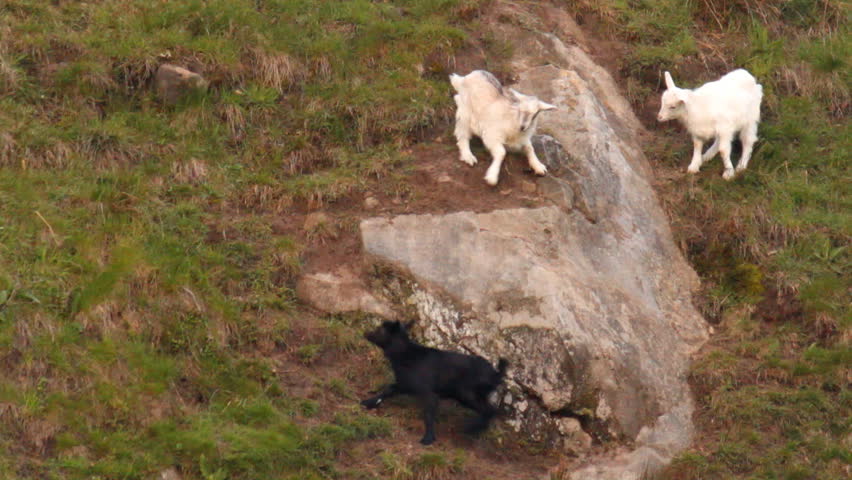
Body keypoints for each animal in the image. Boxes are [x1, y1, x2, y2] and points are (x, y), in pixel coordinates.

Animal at [361, 320, 508, 445]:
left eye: (380, 329)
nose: (366, 333)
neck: (407, 354)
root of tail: (495, 374)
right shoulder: (403, 384)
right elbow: (387, 391)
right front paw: (368, 402)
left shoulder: (428, 393)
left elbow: (428, 415)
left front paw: (428, 438)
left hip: (466, 394)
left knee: (489, 410)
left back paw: (472, 428)